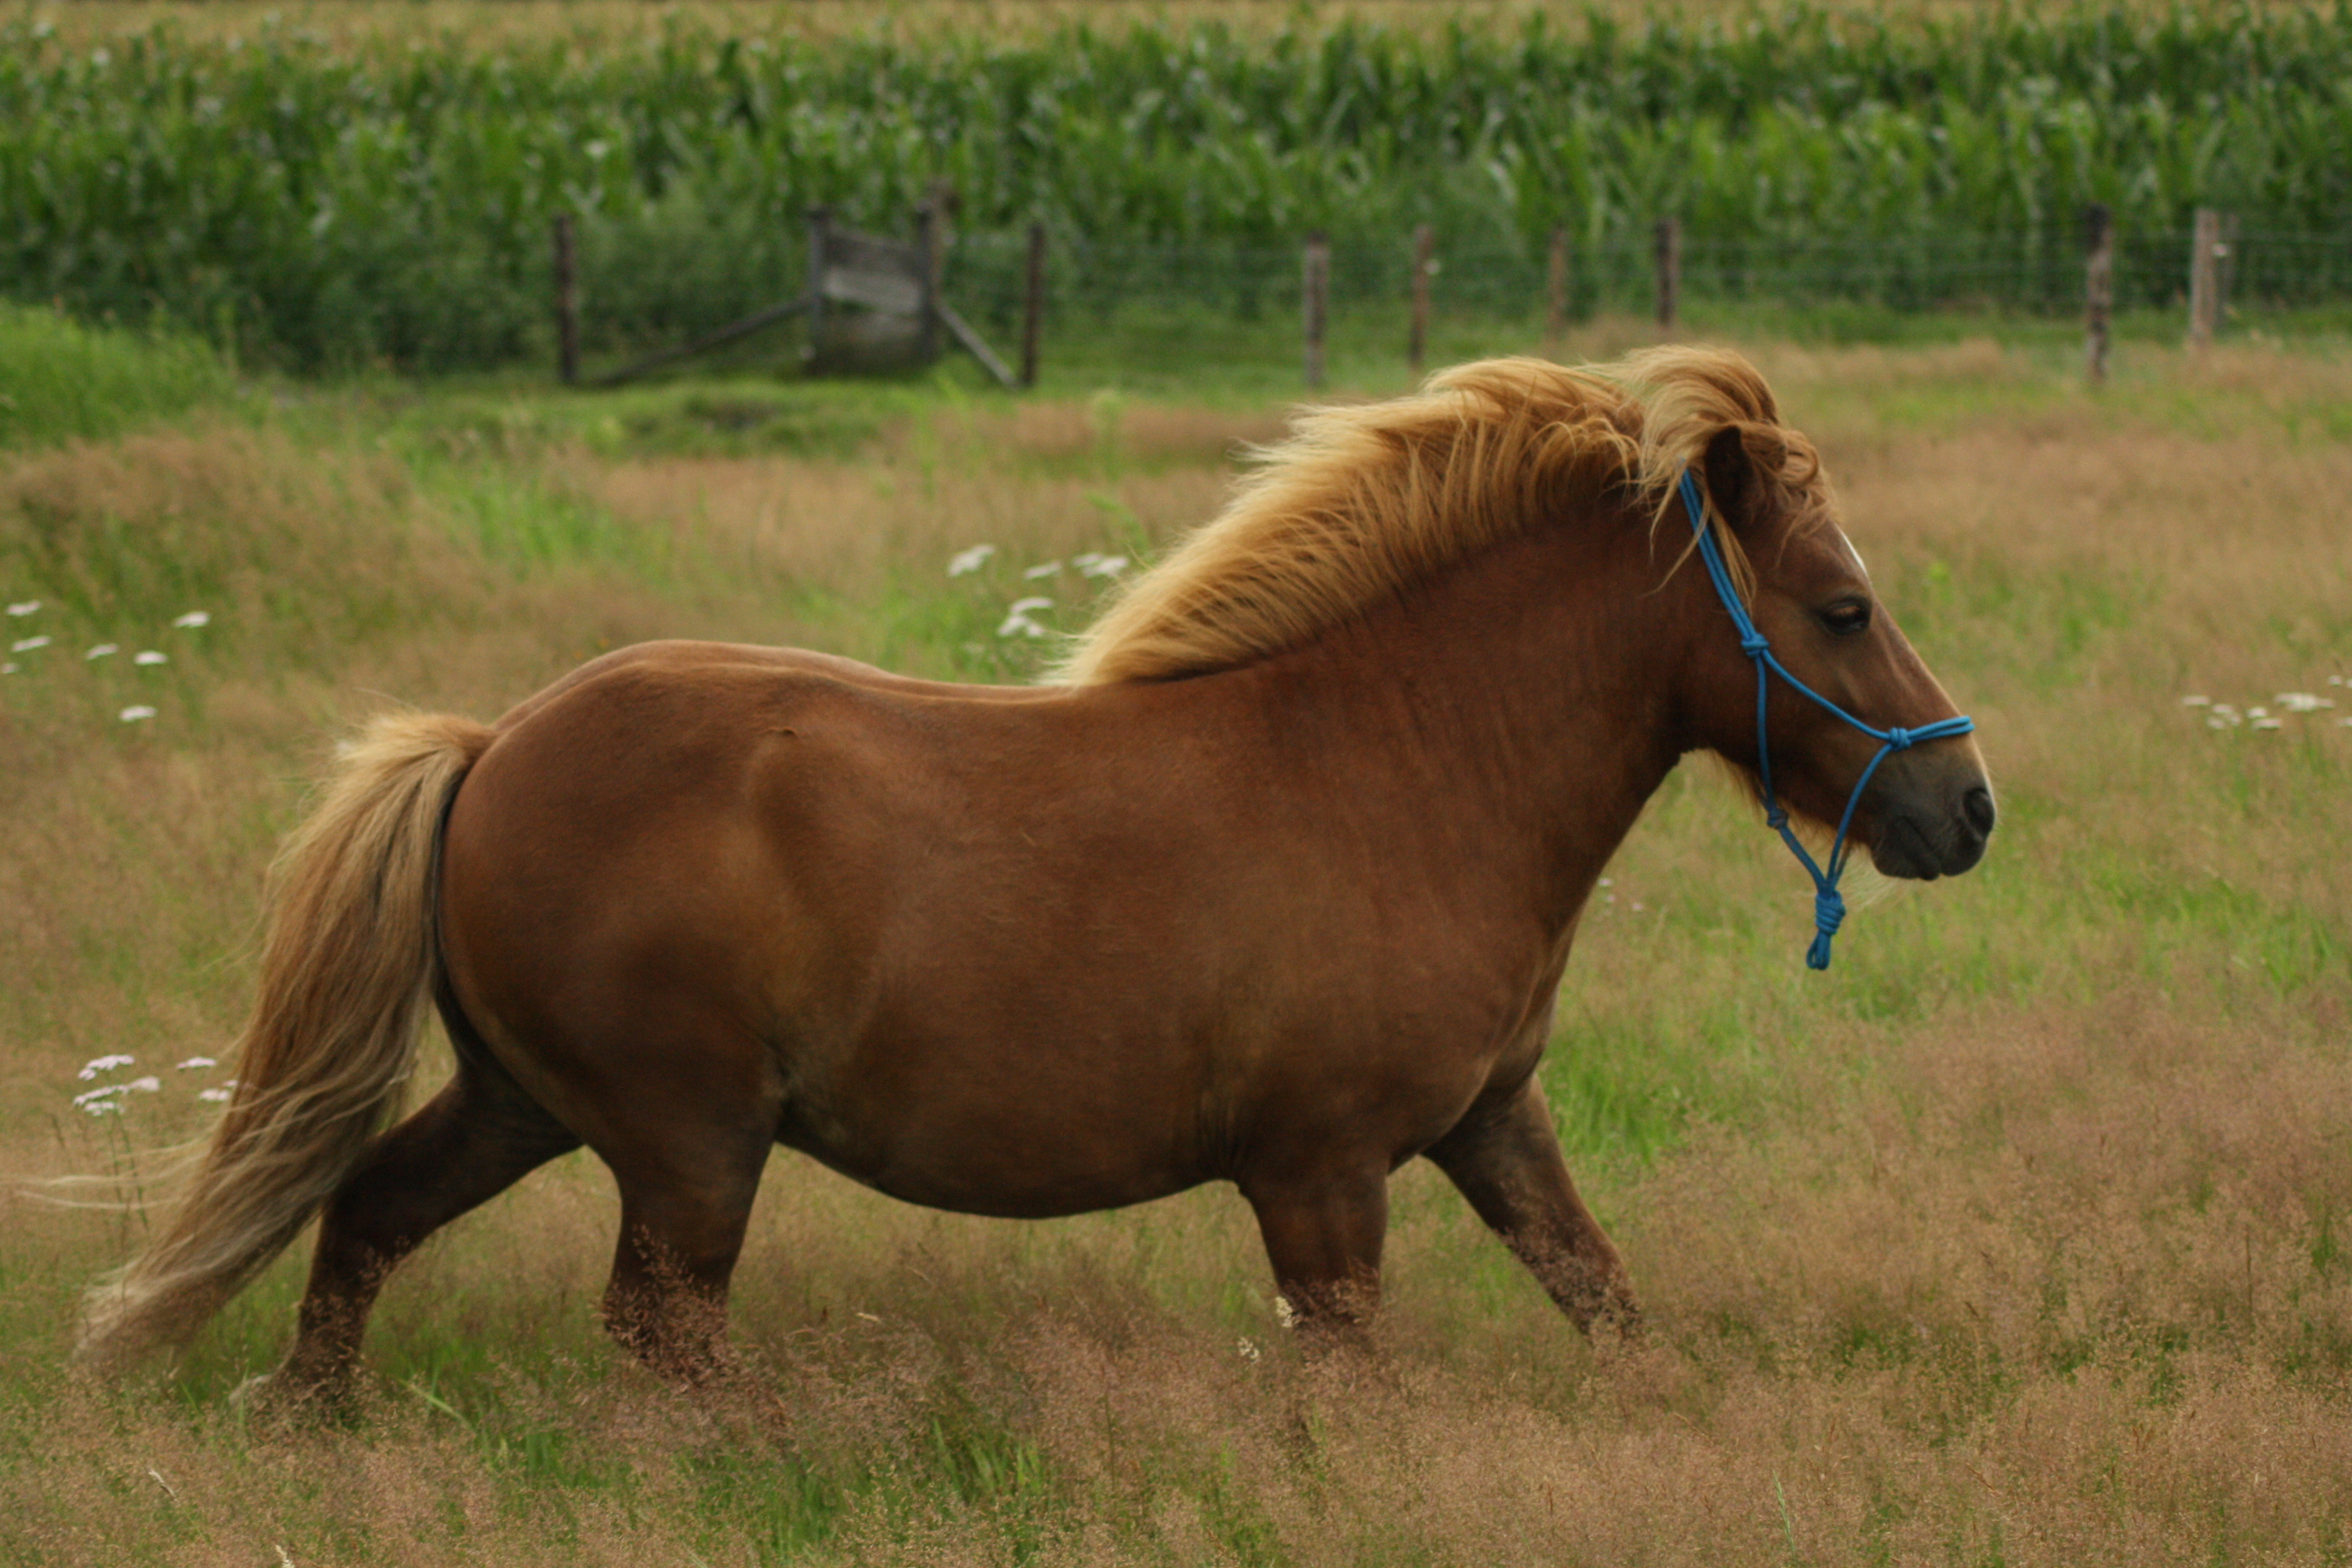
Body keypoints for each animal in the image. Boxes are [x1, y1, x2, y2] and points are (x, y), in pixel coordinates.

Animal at [76, 347, 1992, 1400]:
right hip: (688, 1146)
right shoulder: (1320, 1178)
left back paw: (310, 1426)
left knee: (364, 1218)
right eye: (1843, 608)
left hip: (526, 1102)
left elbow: (1605, 1298)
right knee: (659, 1345)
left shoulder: (1486, 1122)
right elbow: (1357, 1375)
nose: (1964, 809)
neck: (1397, 773)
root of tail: (488, 749)